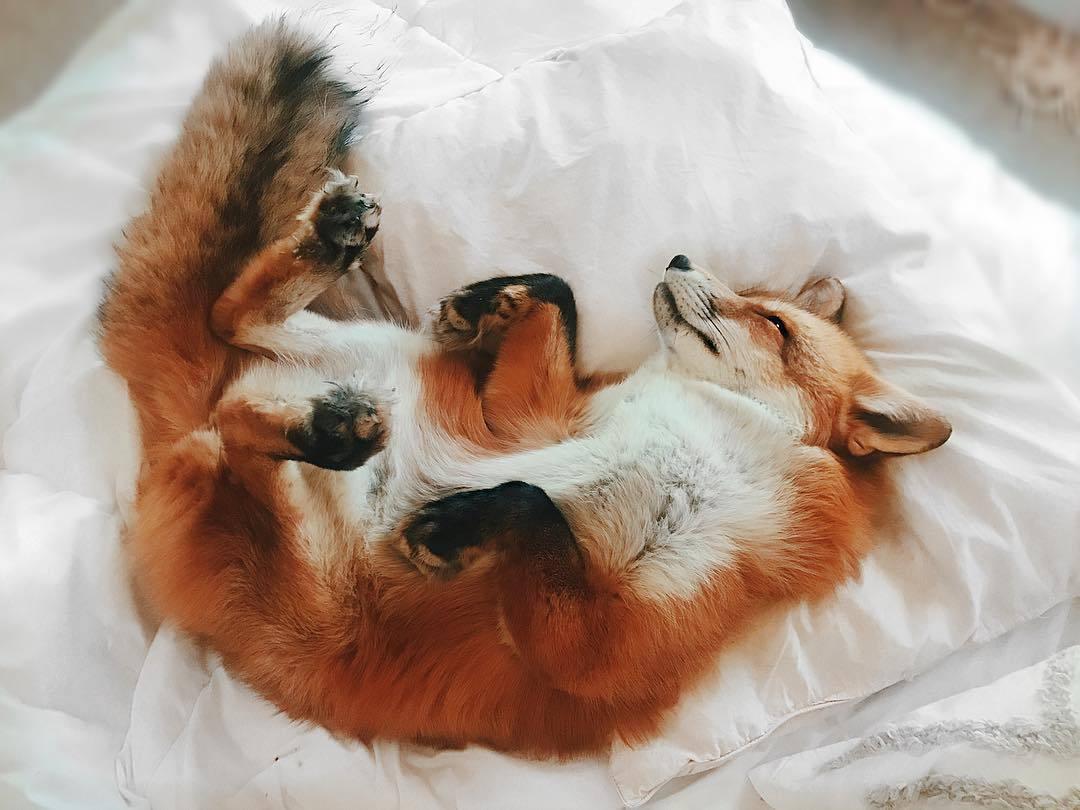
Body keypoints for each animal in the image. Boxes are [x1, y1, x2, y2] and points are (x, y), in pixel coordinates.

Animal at [98, 21, 951, 756]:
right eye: (750, 293)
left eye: (772, 323)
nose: (678, 259)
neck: (703, 429)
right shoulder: (533, 420)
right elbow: (559, 296)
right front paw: (492, 302)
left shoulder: (608, 647)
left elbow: (535, 506)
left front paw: (456, 526)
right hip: (381, 360)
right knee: (231, 320)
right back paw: (332, 258)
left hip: (303, 553)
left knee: (235, 421)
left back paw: (324, 429)